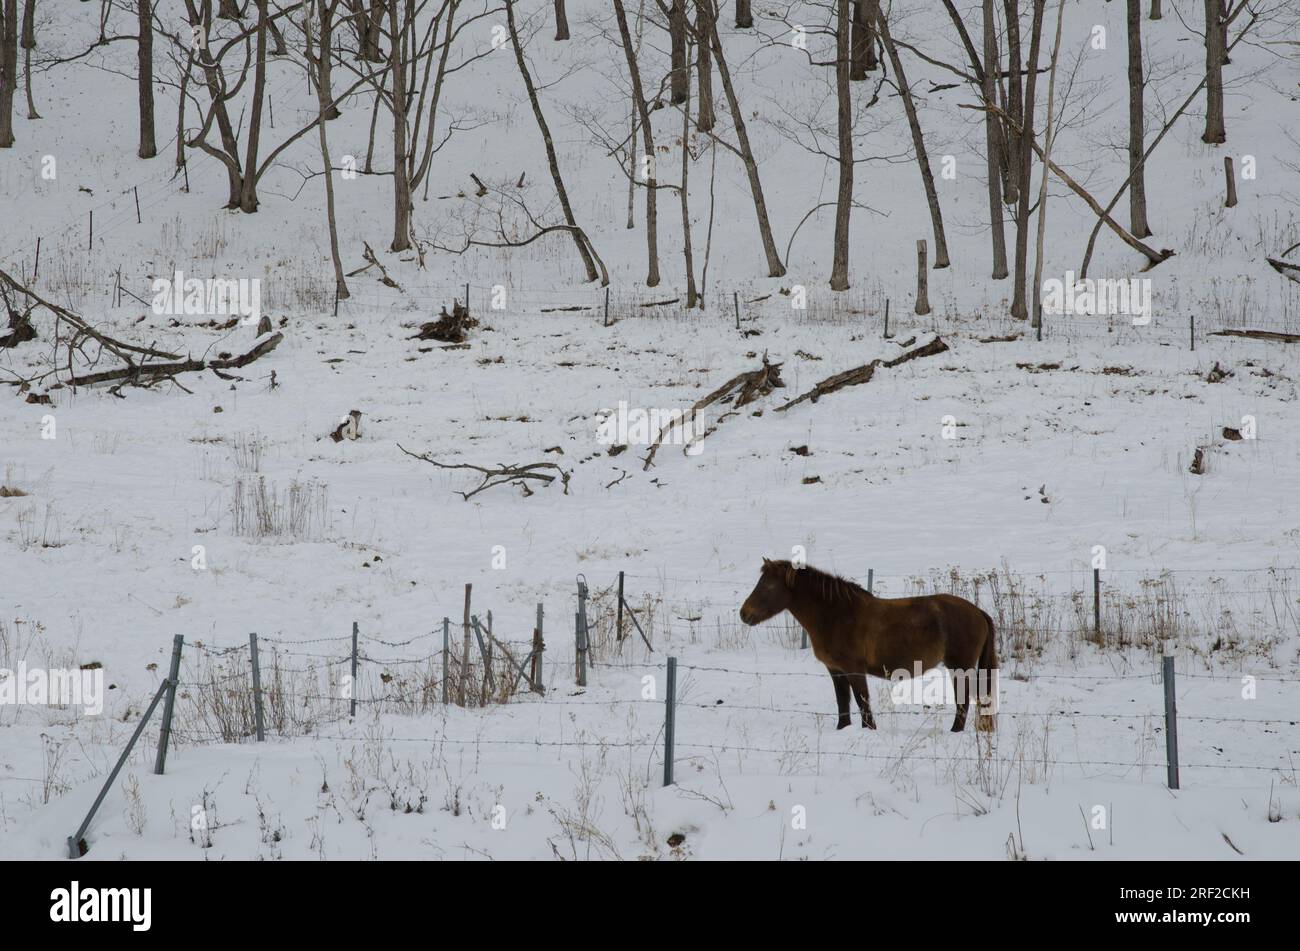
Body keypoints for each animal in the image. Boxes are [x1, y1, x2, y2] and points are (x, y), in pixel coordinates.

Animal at [739, 559, 998, 732]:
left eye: (767, 587)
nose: (744, 614)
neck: (836, 614)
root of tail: (978, 612)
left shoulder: (854, 669)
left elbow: (862, 701)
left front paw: (868, 729)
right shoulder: (836, 670)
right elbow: (843, 702)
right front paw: (843, 729)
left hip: (960, 667)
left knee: (963, 701)